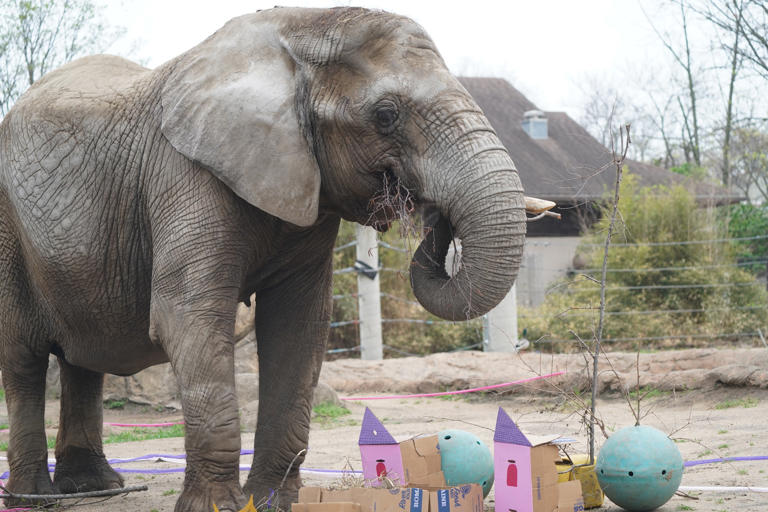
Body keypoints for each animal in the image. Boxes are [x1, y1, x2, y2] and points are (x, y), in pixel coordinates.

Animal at [0, 6, 525, 512]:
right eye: (386, 114)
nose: (434, 214)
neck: (304, 26)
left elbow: (297, 326)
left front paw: (272, 502)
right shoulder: (183, 174)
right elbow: (186, 316)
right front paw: (216, 507)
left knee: (81, 359)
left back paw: (95, 488)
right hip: (8, 235)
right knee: (24, 360)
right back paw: (37, 498)